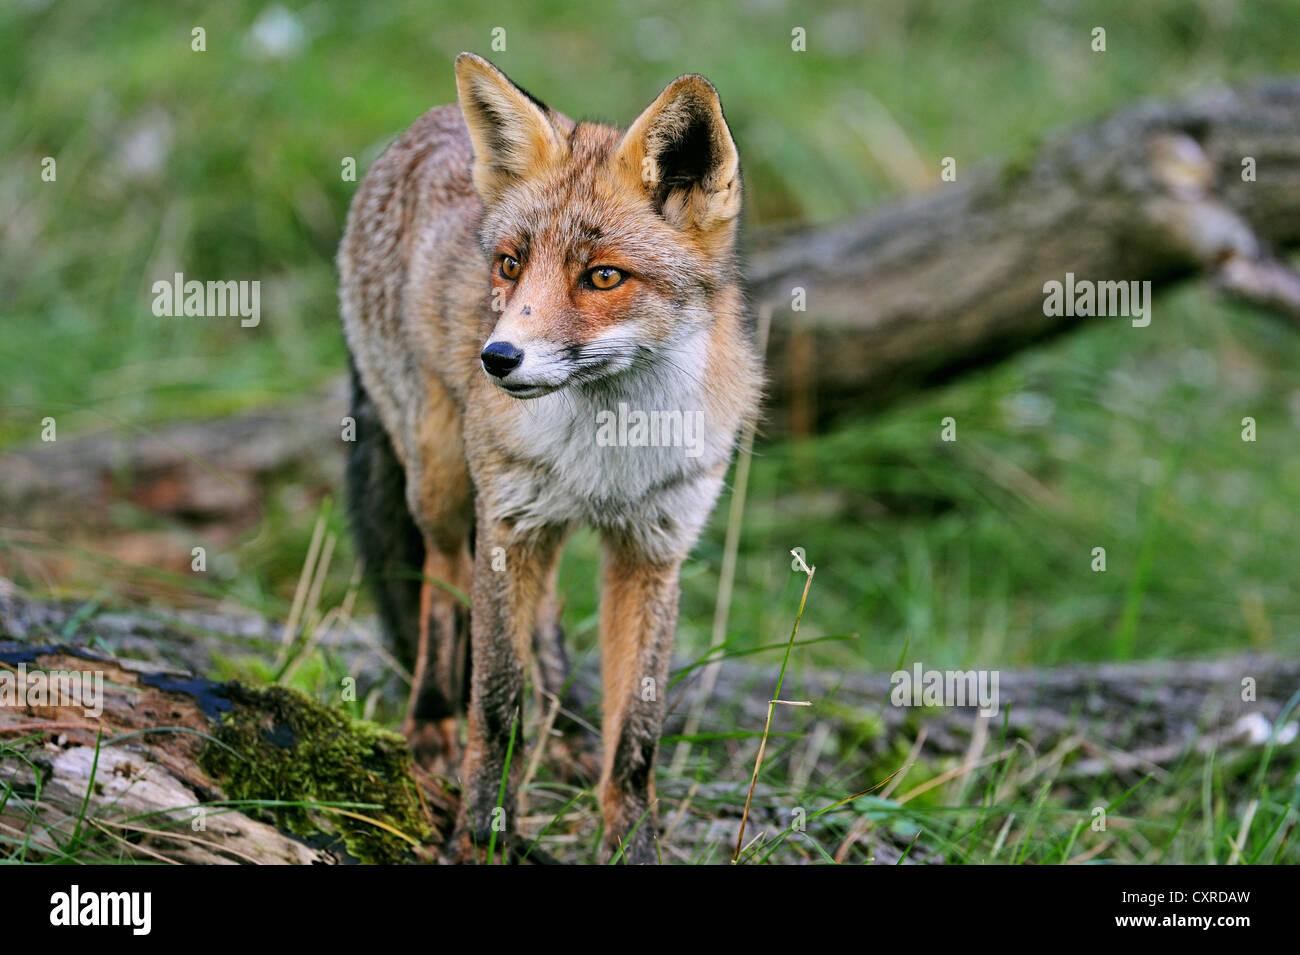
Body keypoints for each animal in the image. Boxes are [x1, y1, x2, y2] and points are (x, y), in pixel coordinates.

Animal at [338, 52, 761, 864]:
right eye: (510, 265)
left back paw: (565, 730)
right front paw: (481, 834)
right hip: (443, 481)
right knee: (442, 585)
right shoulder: (508, 529)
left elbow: (636, 741)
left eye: (603, 276)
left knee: (548, 616)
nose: (497, 358)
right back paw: (431, 722)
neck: (610, 452)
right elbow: (497, 701)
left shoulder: (652, 550)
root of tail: (426, 123)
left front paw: (632, 843)